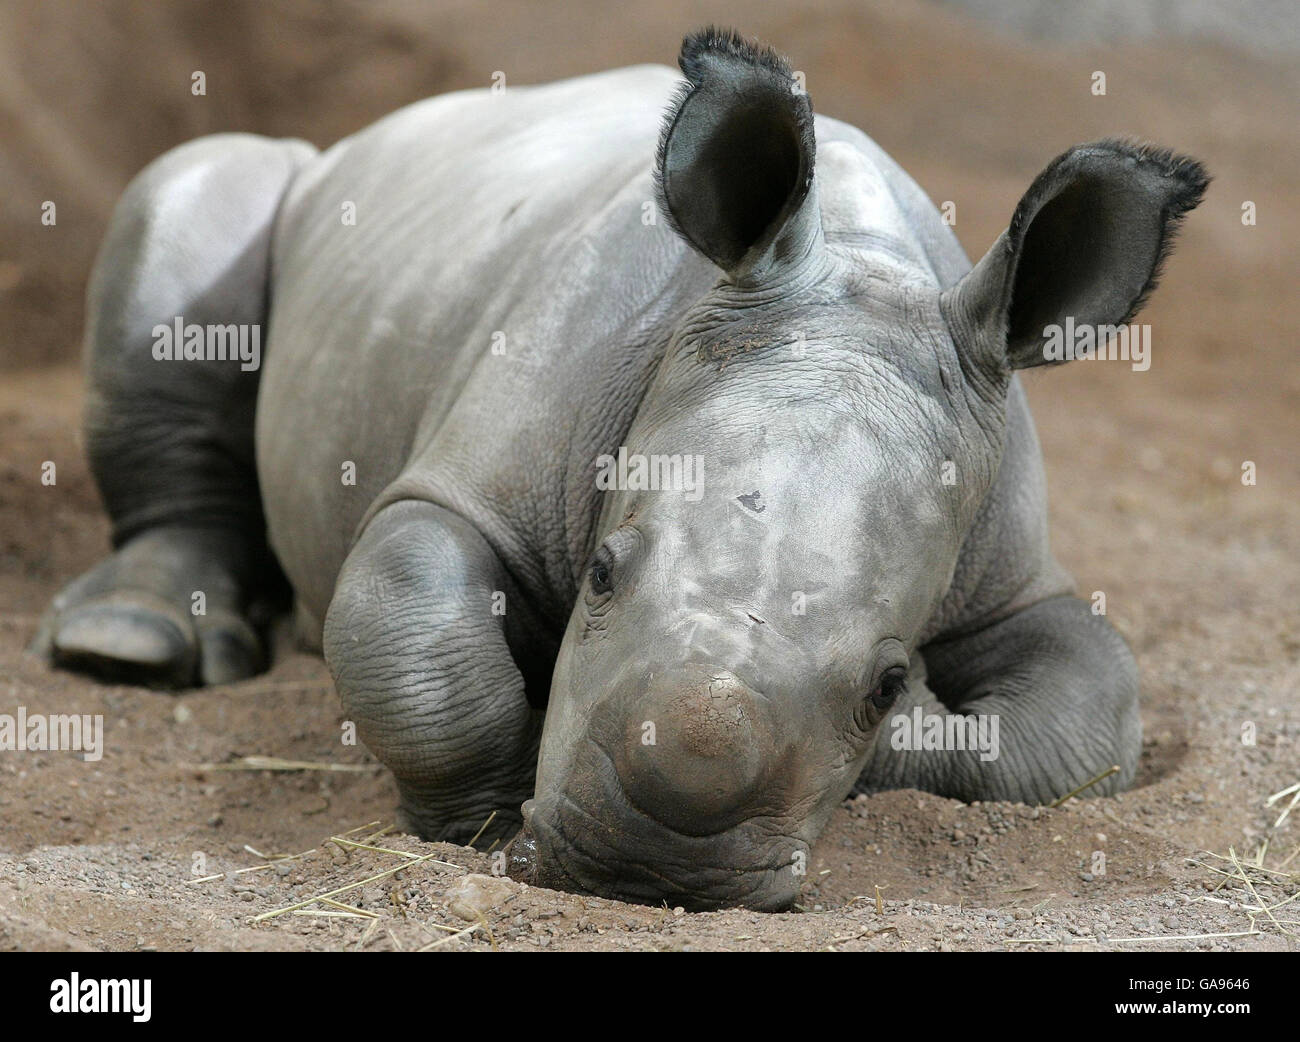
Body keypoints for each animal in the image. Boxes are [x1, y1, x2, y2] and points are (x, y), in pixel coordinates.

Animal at [36, 28, 1208, 910]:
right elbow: (416, 621)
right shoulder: (468, 485)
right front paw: (483, 817)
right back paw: (128, 647)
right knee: (196, 192)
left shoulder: (1014, 571)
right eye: (601, 572)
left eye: (880, 681)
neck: (863, 268)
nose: (652, 867)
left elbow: (1079, 723)